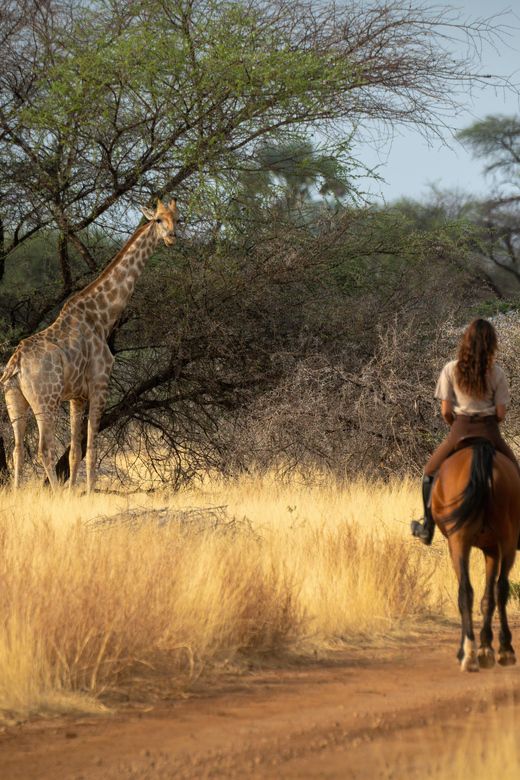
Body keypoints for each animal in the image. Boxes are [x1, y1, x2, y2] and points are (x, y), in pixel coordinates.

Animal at [432, 437, 520, 672]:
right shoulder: (493, 547)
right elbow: (488, 597)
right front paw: (486, 647)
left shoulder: (484, 546)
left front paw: (481, 647)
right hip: (505, 539)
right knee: (497, 588)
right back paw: (500, 650)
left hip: (460, 540)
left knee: (468, 590)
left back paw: (471, 653)